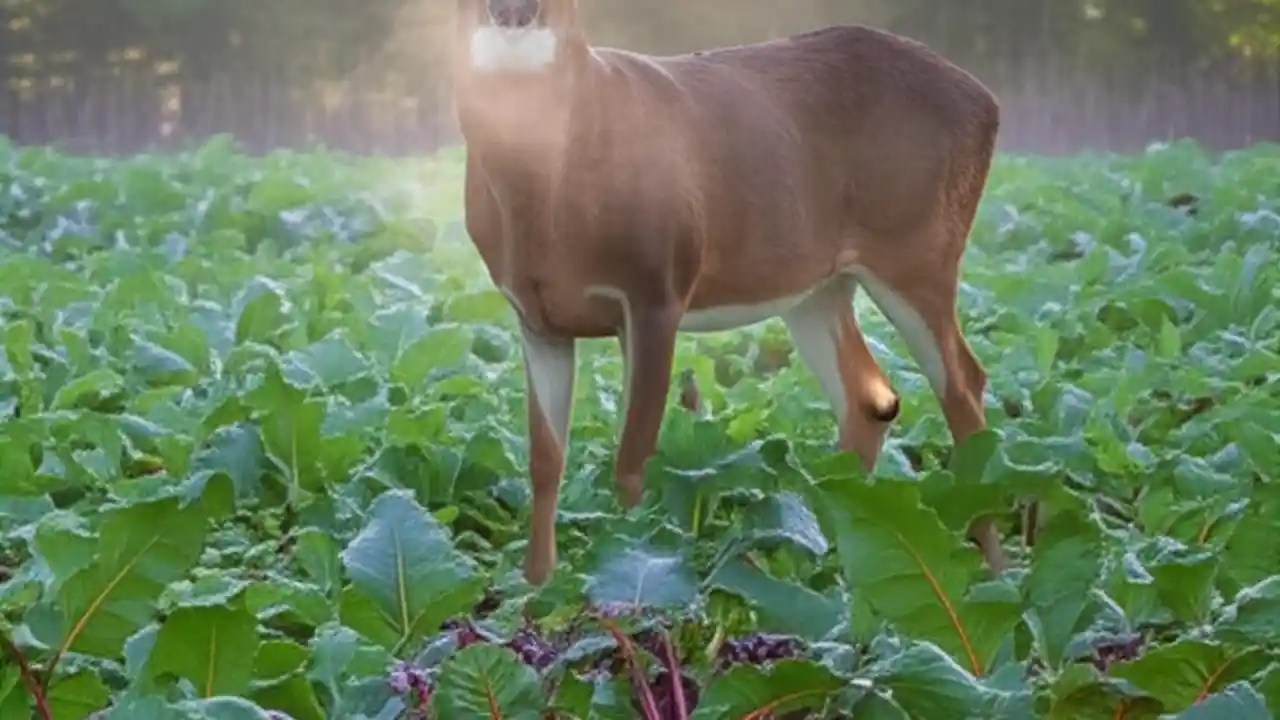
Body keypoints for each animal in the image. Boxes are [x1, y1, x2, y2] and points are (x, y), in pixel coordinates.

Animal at [450, 0, 1008, 585]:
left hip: (919, 249)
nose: (515, 11)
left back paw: (993, 570)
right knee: (871, 397)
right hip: (817, 286)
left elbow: (633, 457)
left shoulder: (657, 287)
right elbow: (544, 458)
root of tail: (988, 101)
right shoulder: (535, 316)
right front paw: (538, 585)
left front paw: (629, 559)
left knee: (962, 381)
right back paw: (831, 556)